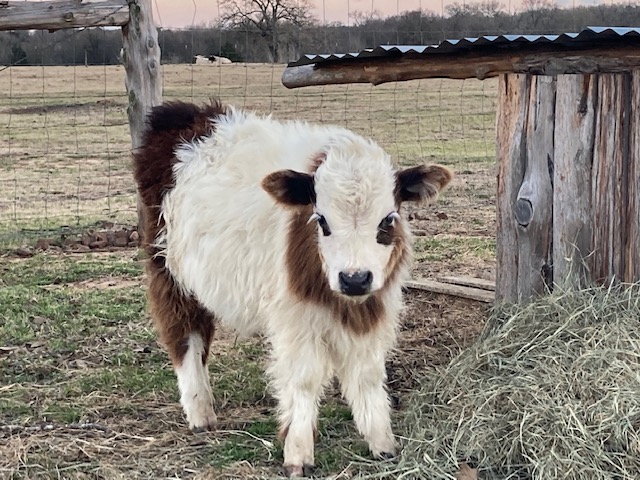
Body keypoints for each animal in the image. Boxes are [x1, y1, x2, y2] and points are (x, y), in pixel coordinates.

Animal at [133, 101, 452, 477]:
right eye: (322, 220)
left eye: (388, 220)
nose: (354, 278)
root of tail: (189, 116)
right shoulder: (296, 318)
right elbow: (304, 379)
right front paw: (298, 452)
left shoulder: (375, 306)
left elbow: (368, 372)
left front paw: (382, 443)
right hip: (169, 271)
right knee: (185, 334)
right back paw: (199, 412)